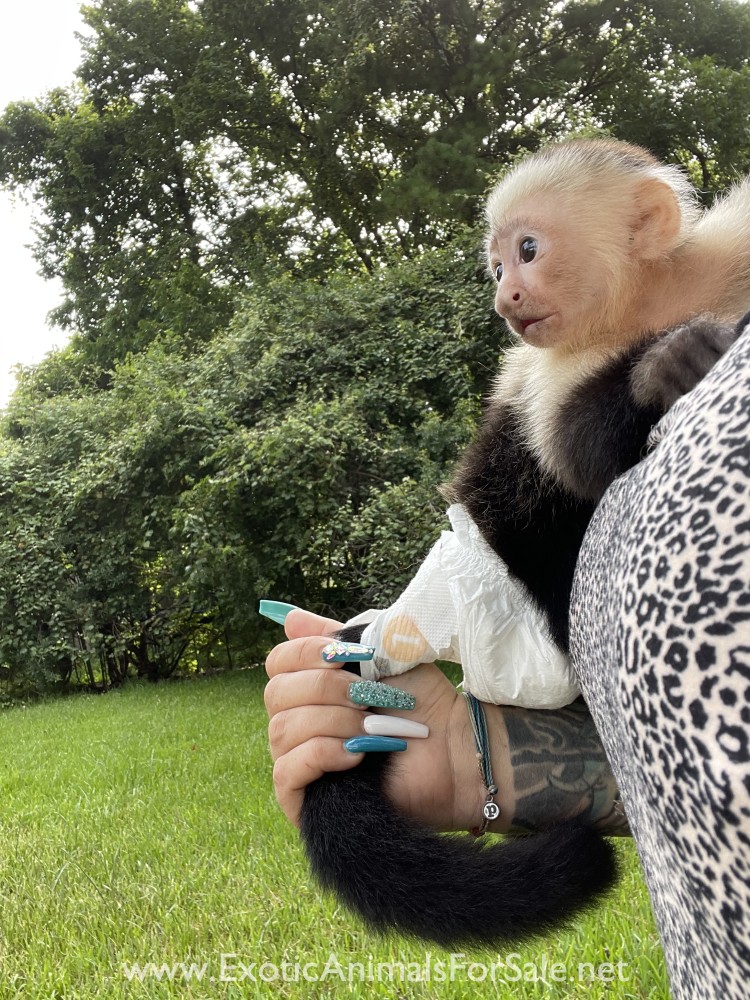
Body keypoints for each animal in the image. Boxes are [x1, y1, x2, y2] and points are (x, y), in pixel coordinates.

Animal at [297, 138, 749, 949]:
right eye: (497, 264)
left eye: (527, 250)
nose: (505, 296)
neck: (643, 304)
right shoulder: (551, 368)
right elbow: (574, 449)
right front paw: (667, 369)